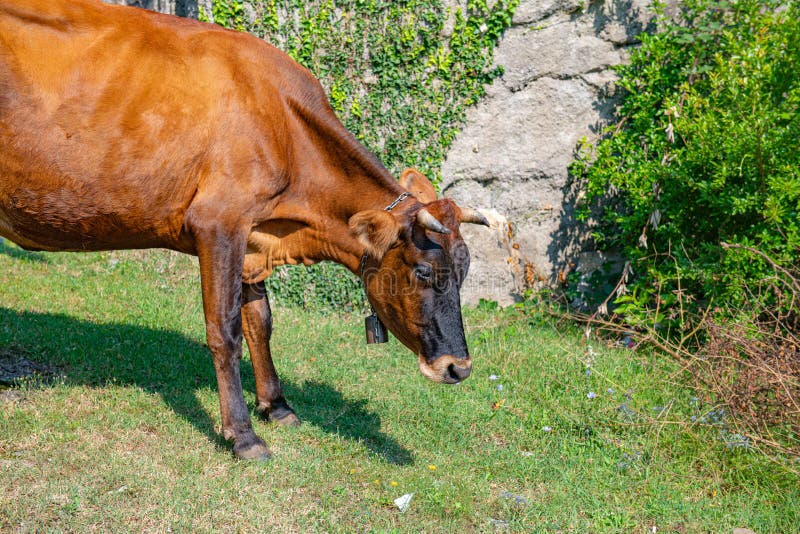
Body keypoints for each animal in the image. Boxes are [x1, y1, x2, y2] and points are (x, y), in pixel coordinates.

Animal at [0, 0, 489, 460]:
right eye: (422, 271)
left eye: (464, 272)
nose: (459, 368)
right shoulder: (219, 223)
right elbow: (226, 330)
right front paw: (243, 435)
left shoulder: (254, 235)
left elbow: (261, 322)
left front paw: (277, 405)